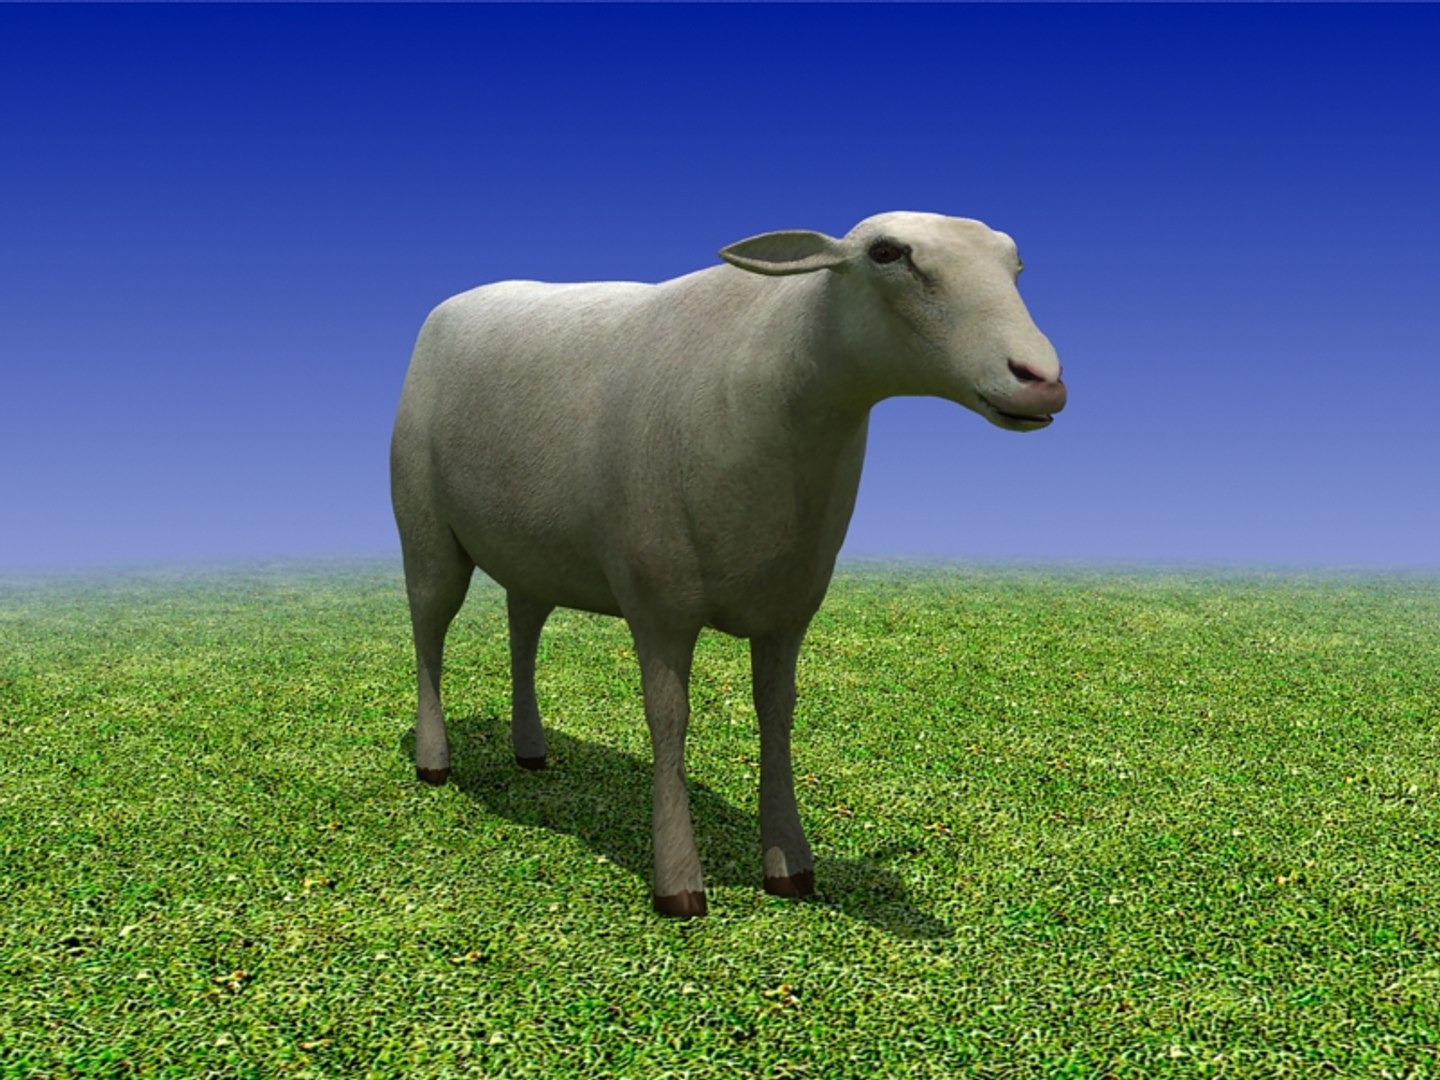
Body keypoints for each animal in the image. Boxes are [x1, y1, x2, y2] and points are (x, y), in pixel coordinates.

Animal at [390, 211, 1065, 917]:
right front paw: (678, 883)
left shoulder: (788, 611)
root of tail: (457, 301)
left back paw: (530, 751)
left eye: (1015, 264)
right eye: (887, 254)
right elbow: (668, 720)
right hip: (426, 529)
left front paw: (790, 866)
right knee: (428, 628)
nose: (1042, 378)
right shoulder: (658, 606)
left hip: (532, 550)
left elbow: (777, 712)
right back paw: (434, 762)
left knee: (523, 625)